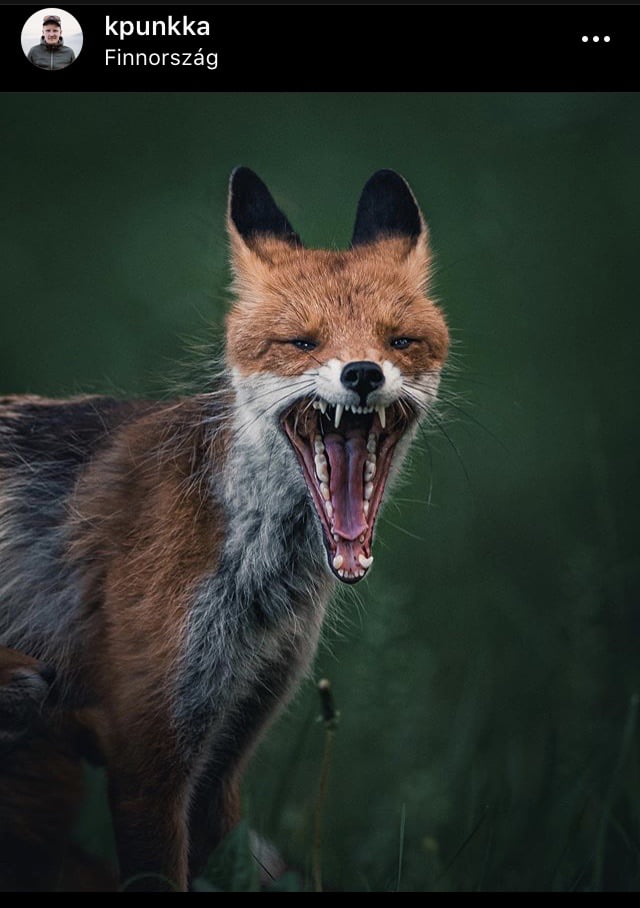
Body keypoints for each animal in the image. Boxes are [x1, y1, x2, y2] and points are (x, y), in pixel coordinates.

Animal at [0, 168, 449, 890]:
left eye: (398, 341)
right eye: (303, 343)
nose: (363, 373)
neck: (257, 587)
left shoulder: (230, 748)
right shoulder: (147, 758)